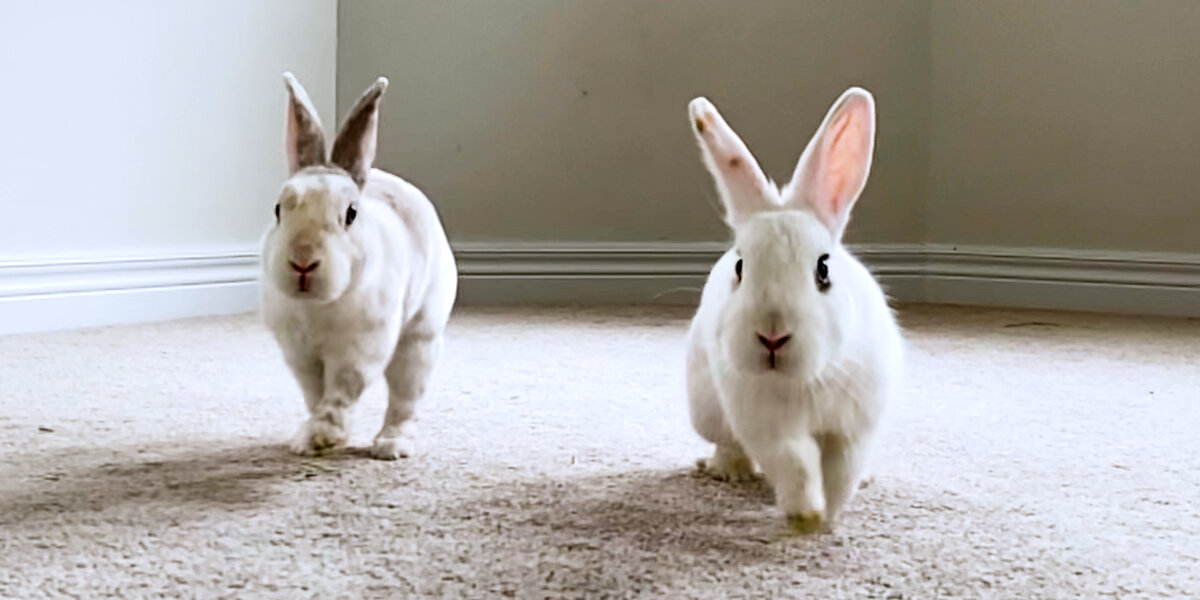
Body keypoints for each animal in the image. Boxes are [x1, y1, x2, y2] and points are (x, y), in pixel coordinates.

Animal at [261, 73, 458, 460]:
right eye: (278, 210)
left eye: (350, 214)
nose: (302, 262)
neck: (318, 306)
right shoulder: (301, 356)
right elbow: (315, 394)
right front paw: (311, 439)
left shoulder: (360, 349)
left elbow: (342, 391)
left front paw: (324, 434)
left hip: (419, 340)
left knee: (404, 399)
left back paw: (391, 446)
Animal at [684, 88, 903, 534]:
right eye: (740, 267)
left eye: (823, 269)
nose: (772, 336)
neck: (808, 378)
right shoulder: (768, 426)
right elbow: (796, 465)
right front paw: (806, 516)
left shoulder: (853, 427)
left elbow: (841, 471)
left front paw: (830, 517)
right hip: (708, 410)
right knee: (726, 441)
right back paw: (729, 470)